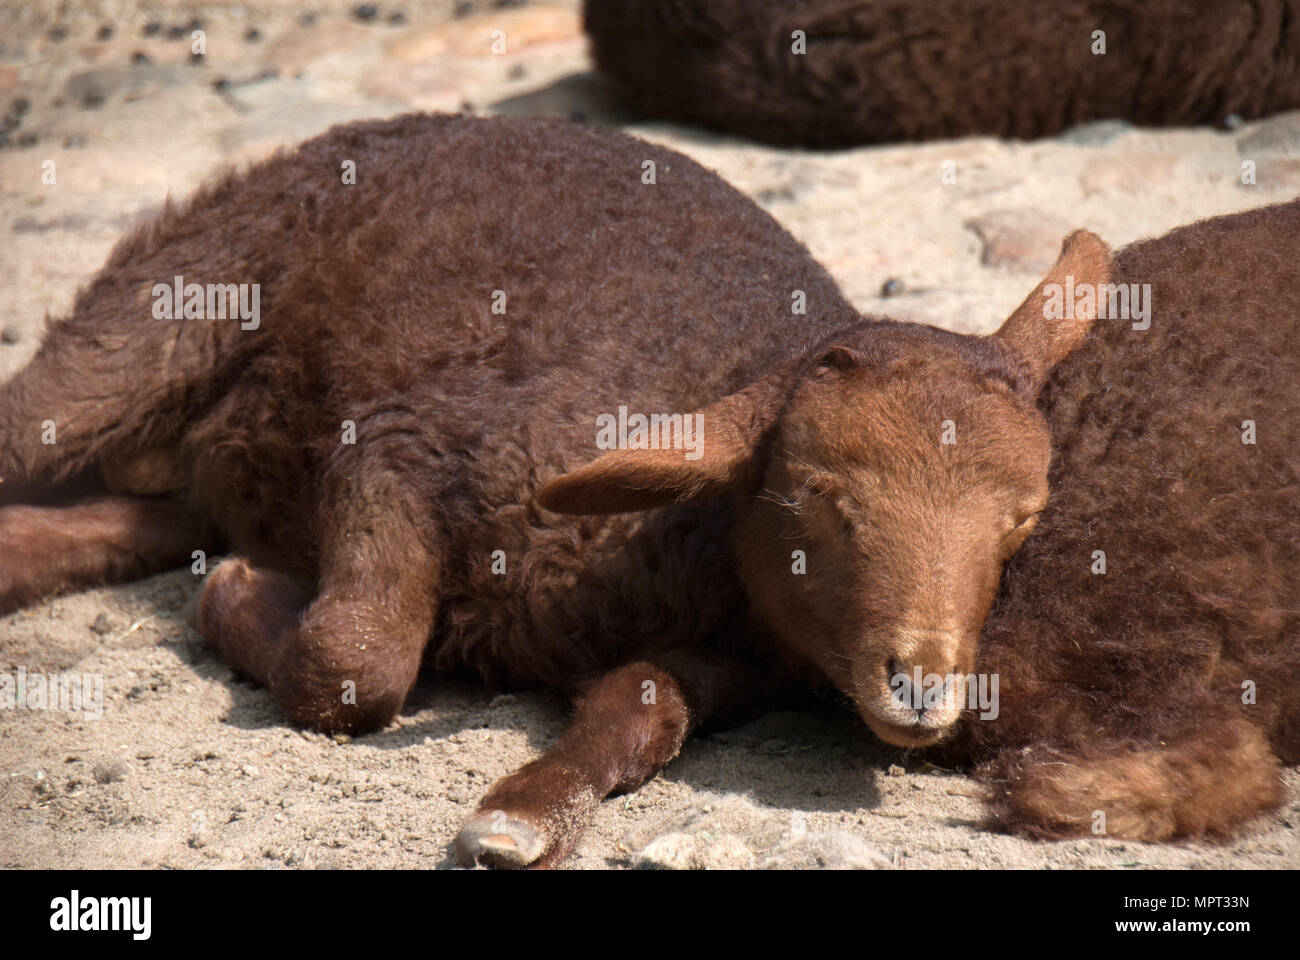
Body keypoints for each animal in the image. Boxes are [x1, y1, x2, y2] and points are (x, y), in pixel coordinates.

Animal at [1, 113, 1296, 868]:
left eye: (1022, 520)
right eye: (817, 494)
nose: (925, 690)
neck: (679, 542)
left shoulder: (733, 657)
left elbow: (641, 709)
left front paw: (521, 813)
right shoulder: (406, 448)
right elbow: (352, 665)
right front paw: (244, 603)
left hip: (212, 441)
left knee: (127, 516)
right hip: (173, 295)